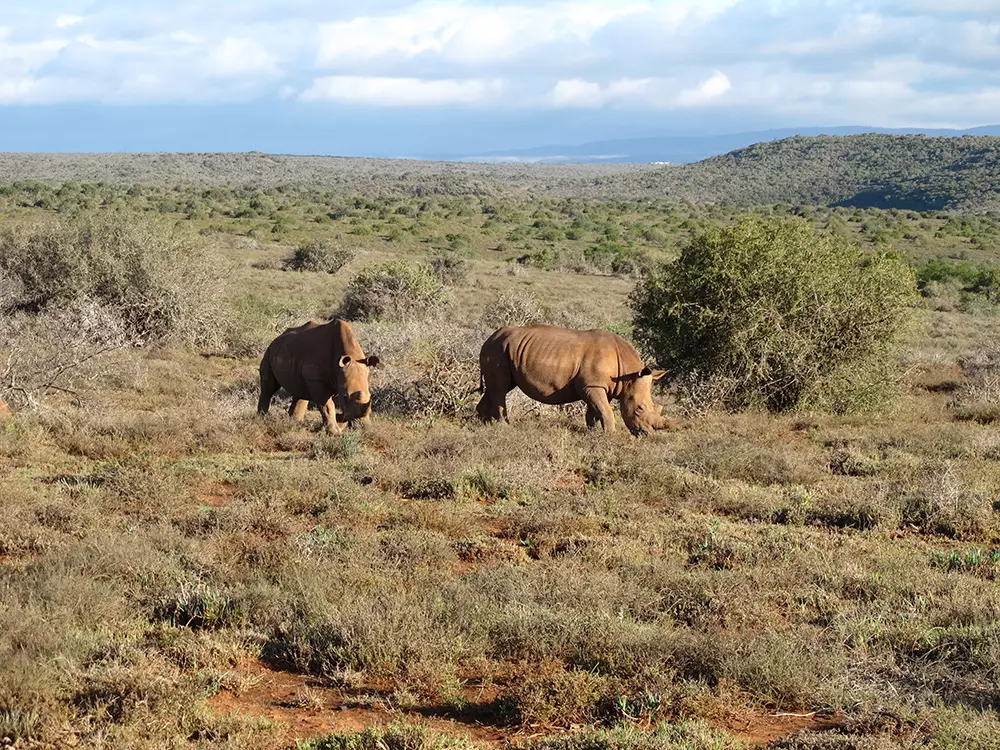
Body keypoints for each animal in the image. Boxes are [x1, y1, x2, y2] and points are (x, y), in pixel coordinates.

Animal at [478, 326, 680, 438]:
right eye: (639, 409)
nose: (648, 434)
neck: (627, 374)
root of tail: (488, 338)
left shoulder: (598, 386)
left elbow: (595, 411)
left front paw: (592, 432)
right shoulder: (592, 385)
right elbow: (606, 411)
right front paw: (610, 437)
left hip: (503, 349)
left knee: (496, 388)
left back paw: (483, 425)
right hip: (497, 350)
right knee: (500, 389)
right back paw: (503, 427)